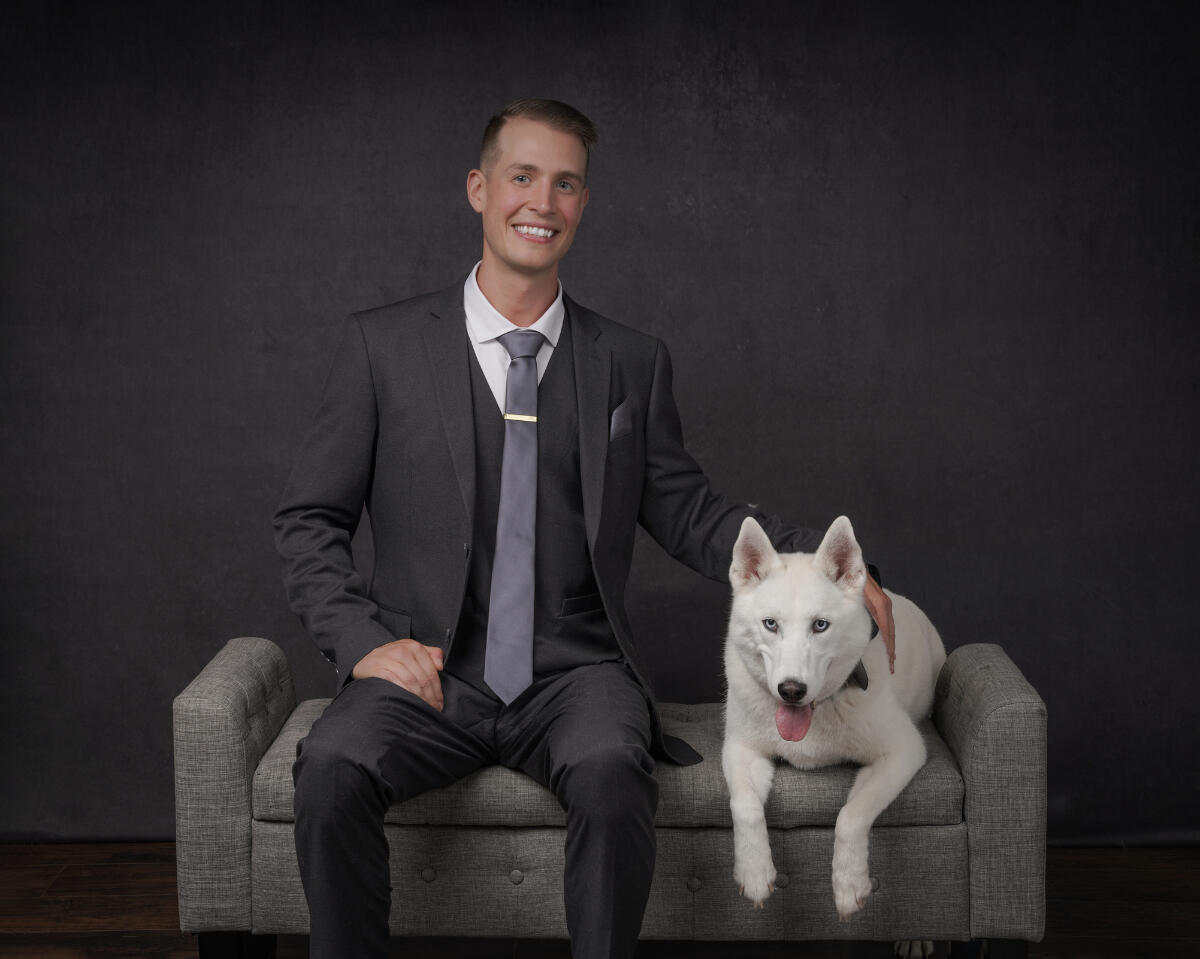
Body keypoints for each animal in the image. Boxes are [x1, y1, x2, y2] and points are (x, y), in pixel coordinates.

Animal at [721, 515, 946, 949]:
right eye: (770, 624)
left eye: (820, 626)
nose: (791, 690)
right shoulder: (739, 748)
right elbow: (745, 805)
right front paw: (754, 871)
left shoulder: (903, 751)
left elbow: (850, 815)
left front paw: (849, 883)